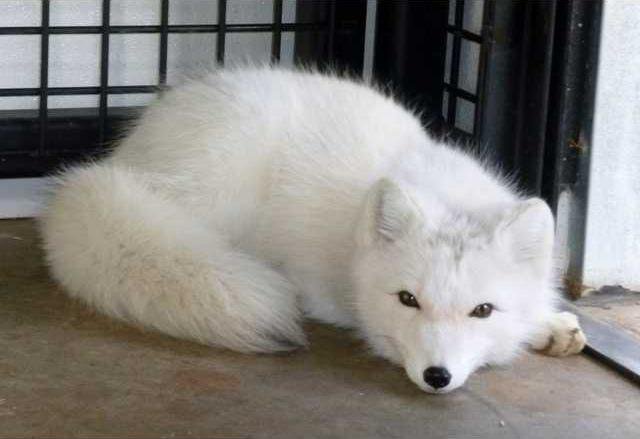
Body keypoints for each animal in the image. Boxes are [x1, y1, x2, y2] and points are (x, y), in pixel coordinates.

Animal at [39, 67, 585, 393]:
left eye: (482, 310)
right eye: (408, 300)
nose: (437, 376)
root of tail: (122, 158)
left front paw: (547, 324)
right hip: (222, 185)